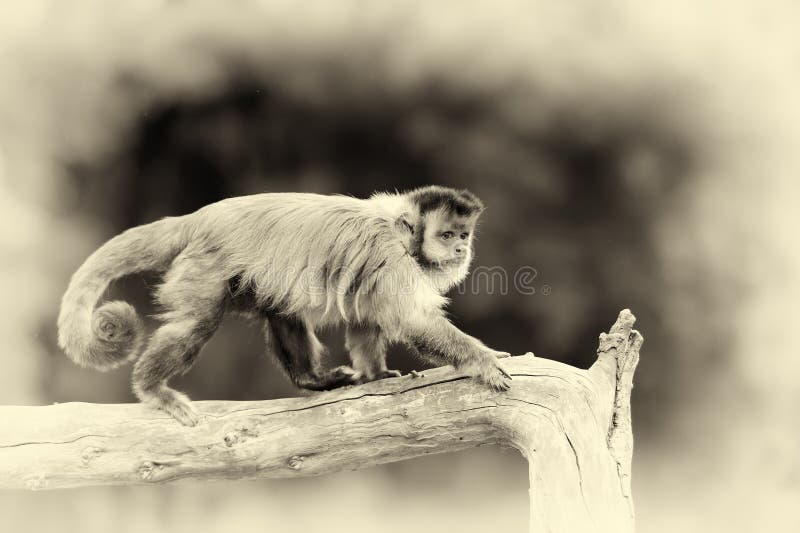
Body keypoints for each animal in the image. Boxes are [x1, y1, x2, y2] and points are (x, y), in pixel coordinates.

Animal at [57, 186, 511, 426]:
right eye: (447, 234)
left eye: (464, 235)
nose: (462, 248)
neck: (400, 232)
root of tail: (200, 218)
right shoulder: (390, 256)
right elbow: (412, 319)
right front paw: (483, 360)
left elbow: (367, 319)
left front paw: (377, 374)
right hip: (205, 264)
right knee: (195, 325)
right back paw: (152, 388)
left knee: (281, 310)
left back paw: (313, 380)